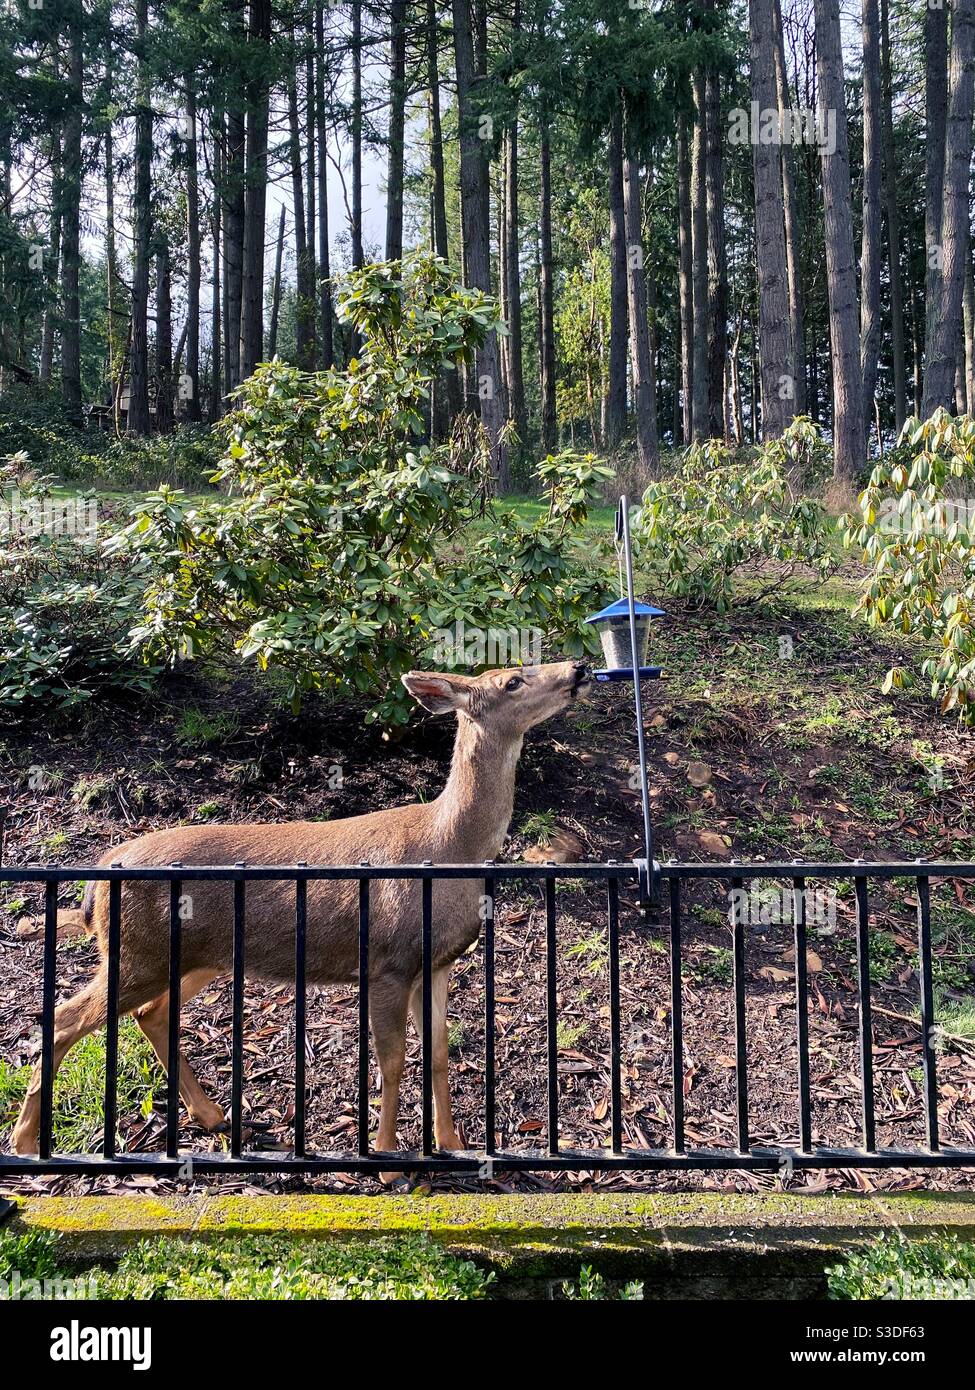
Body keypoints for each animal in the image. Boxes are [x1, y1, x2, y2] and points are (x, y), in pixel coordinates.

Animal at [10, 659, 591, 1162]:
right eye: (513, 680)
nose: (579, 668)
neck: (447, 848)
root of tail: (98, 877)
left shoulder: (438, 962)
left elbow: (440, 1052)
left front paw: (452, 1143)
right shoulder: (386, 962)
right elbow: (393, 1061)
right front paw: (389, 1158)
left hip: (191, 956)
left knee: (150, 1014)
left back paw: (212, 1116)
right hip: (138, 953)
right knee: (63, 1019)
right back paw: (24, 1140)